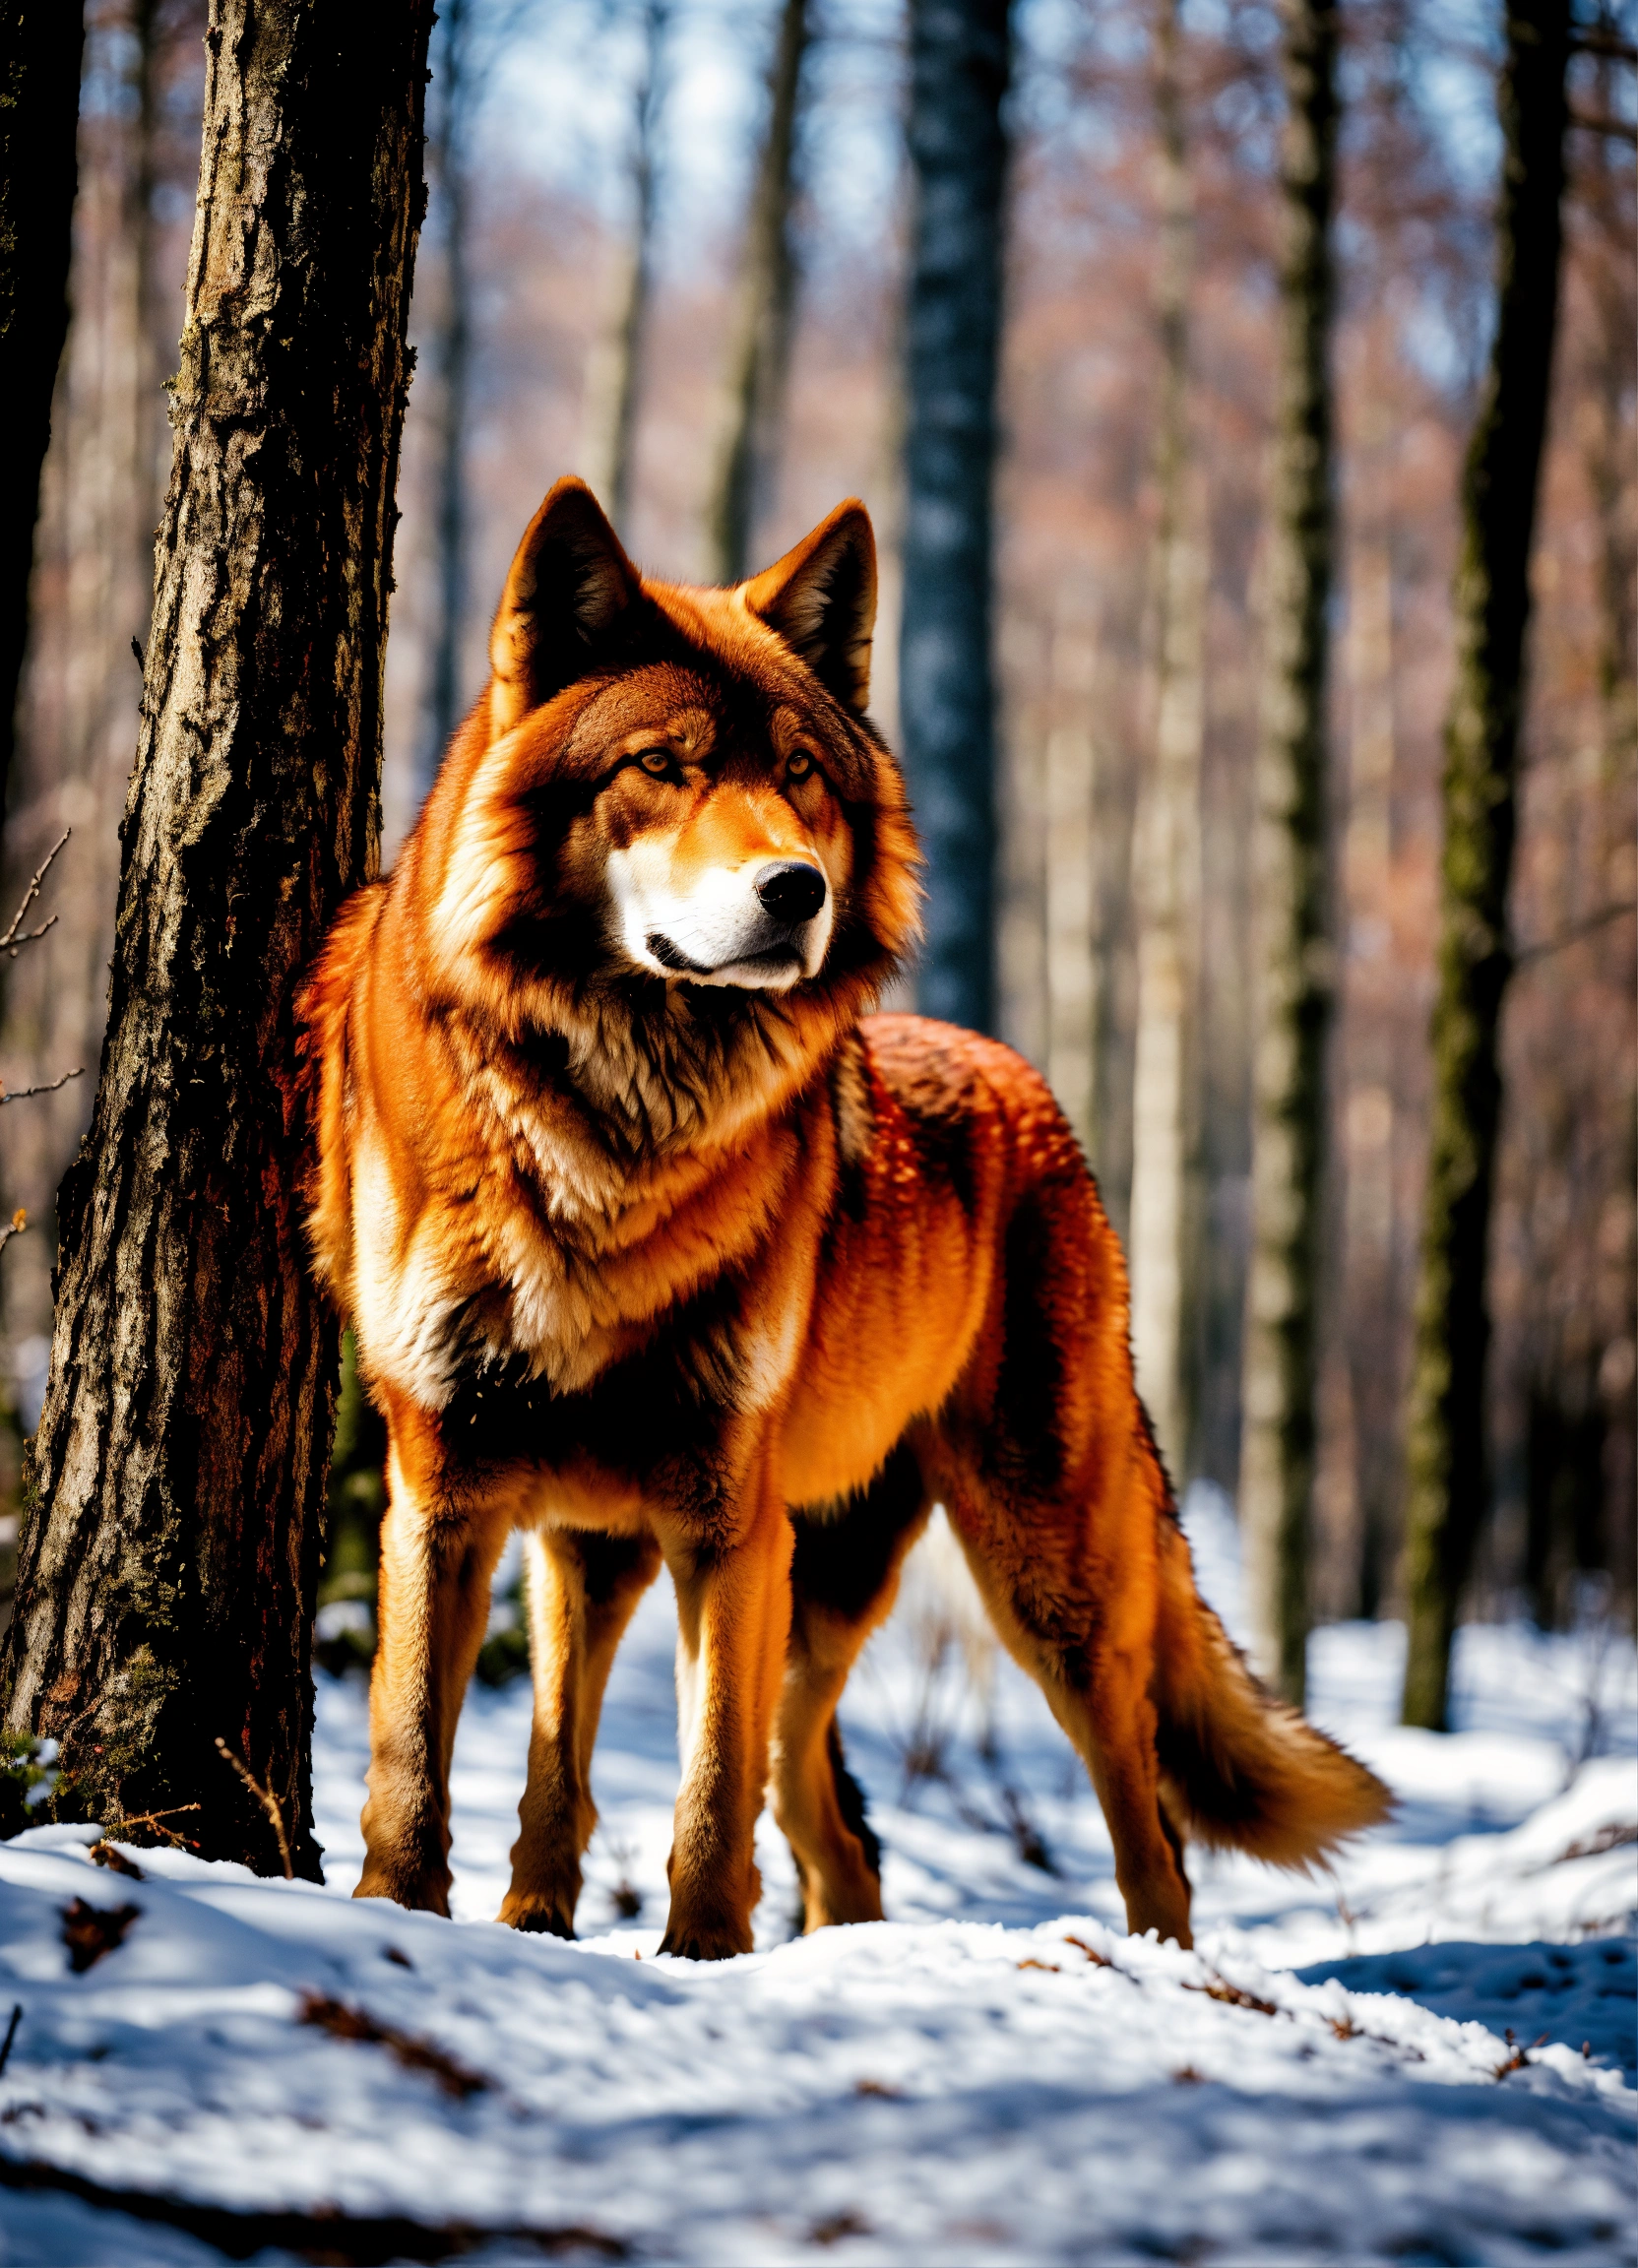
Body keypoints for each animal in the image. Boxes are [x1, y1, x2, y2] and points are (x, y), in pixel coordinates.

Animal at [297, 478, 1389, 1959]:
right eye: (664, 767)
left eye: (803, 776)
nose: (794, 889)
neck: (613, 1146)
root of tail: (1022, 1077)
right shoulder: (444, 1490)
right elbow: (421, 1755)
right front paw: (403, 1925)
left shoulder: (722, 1521)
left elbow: (706, 1792)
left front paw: (695, 1958)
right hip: (730, 1583)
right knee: (814, 1825)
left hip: (1032, 1588)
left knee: (1138, 1831)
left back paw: (1155, 1965)